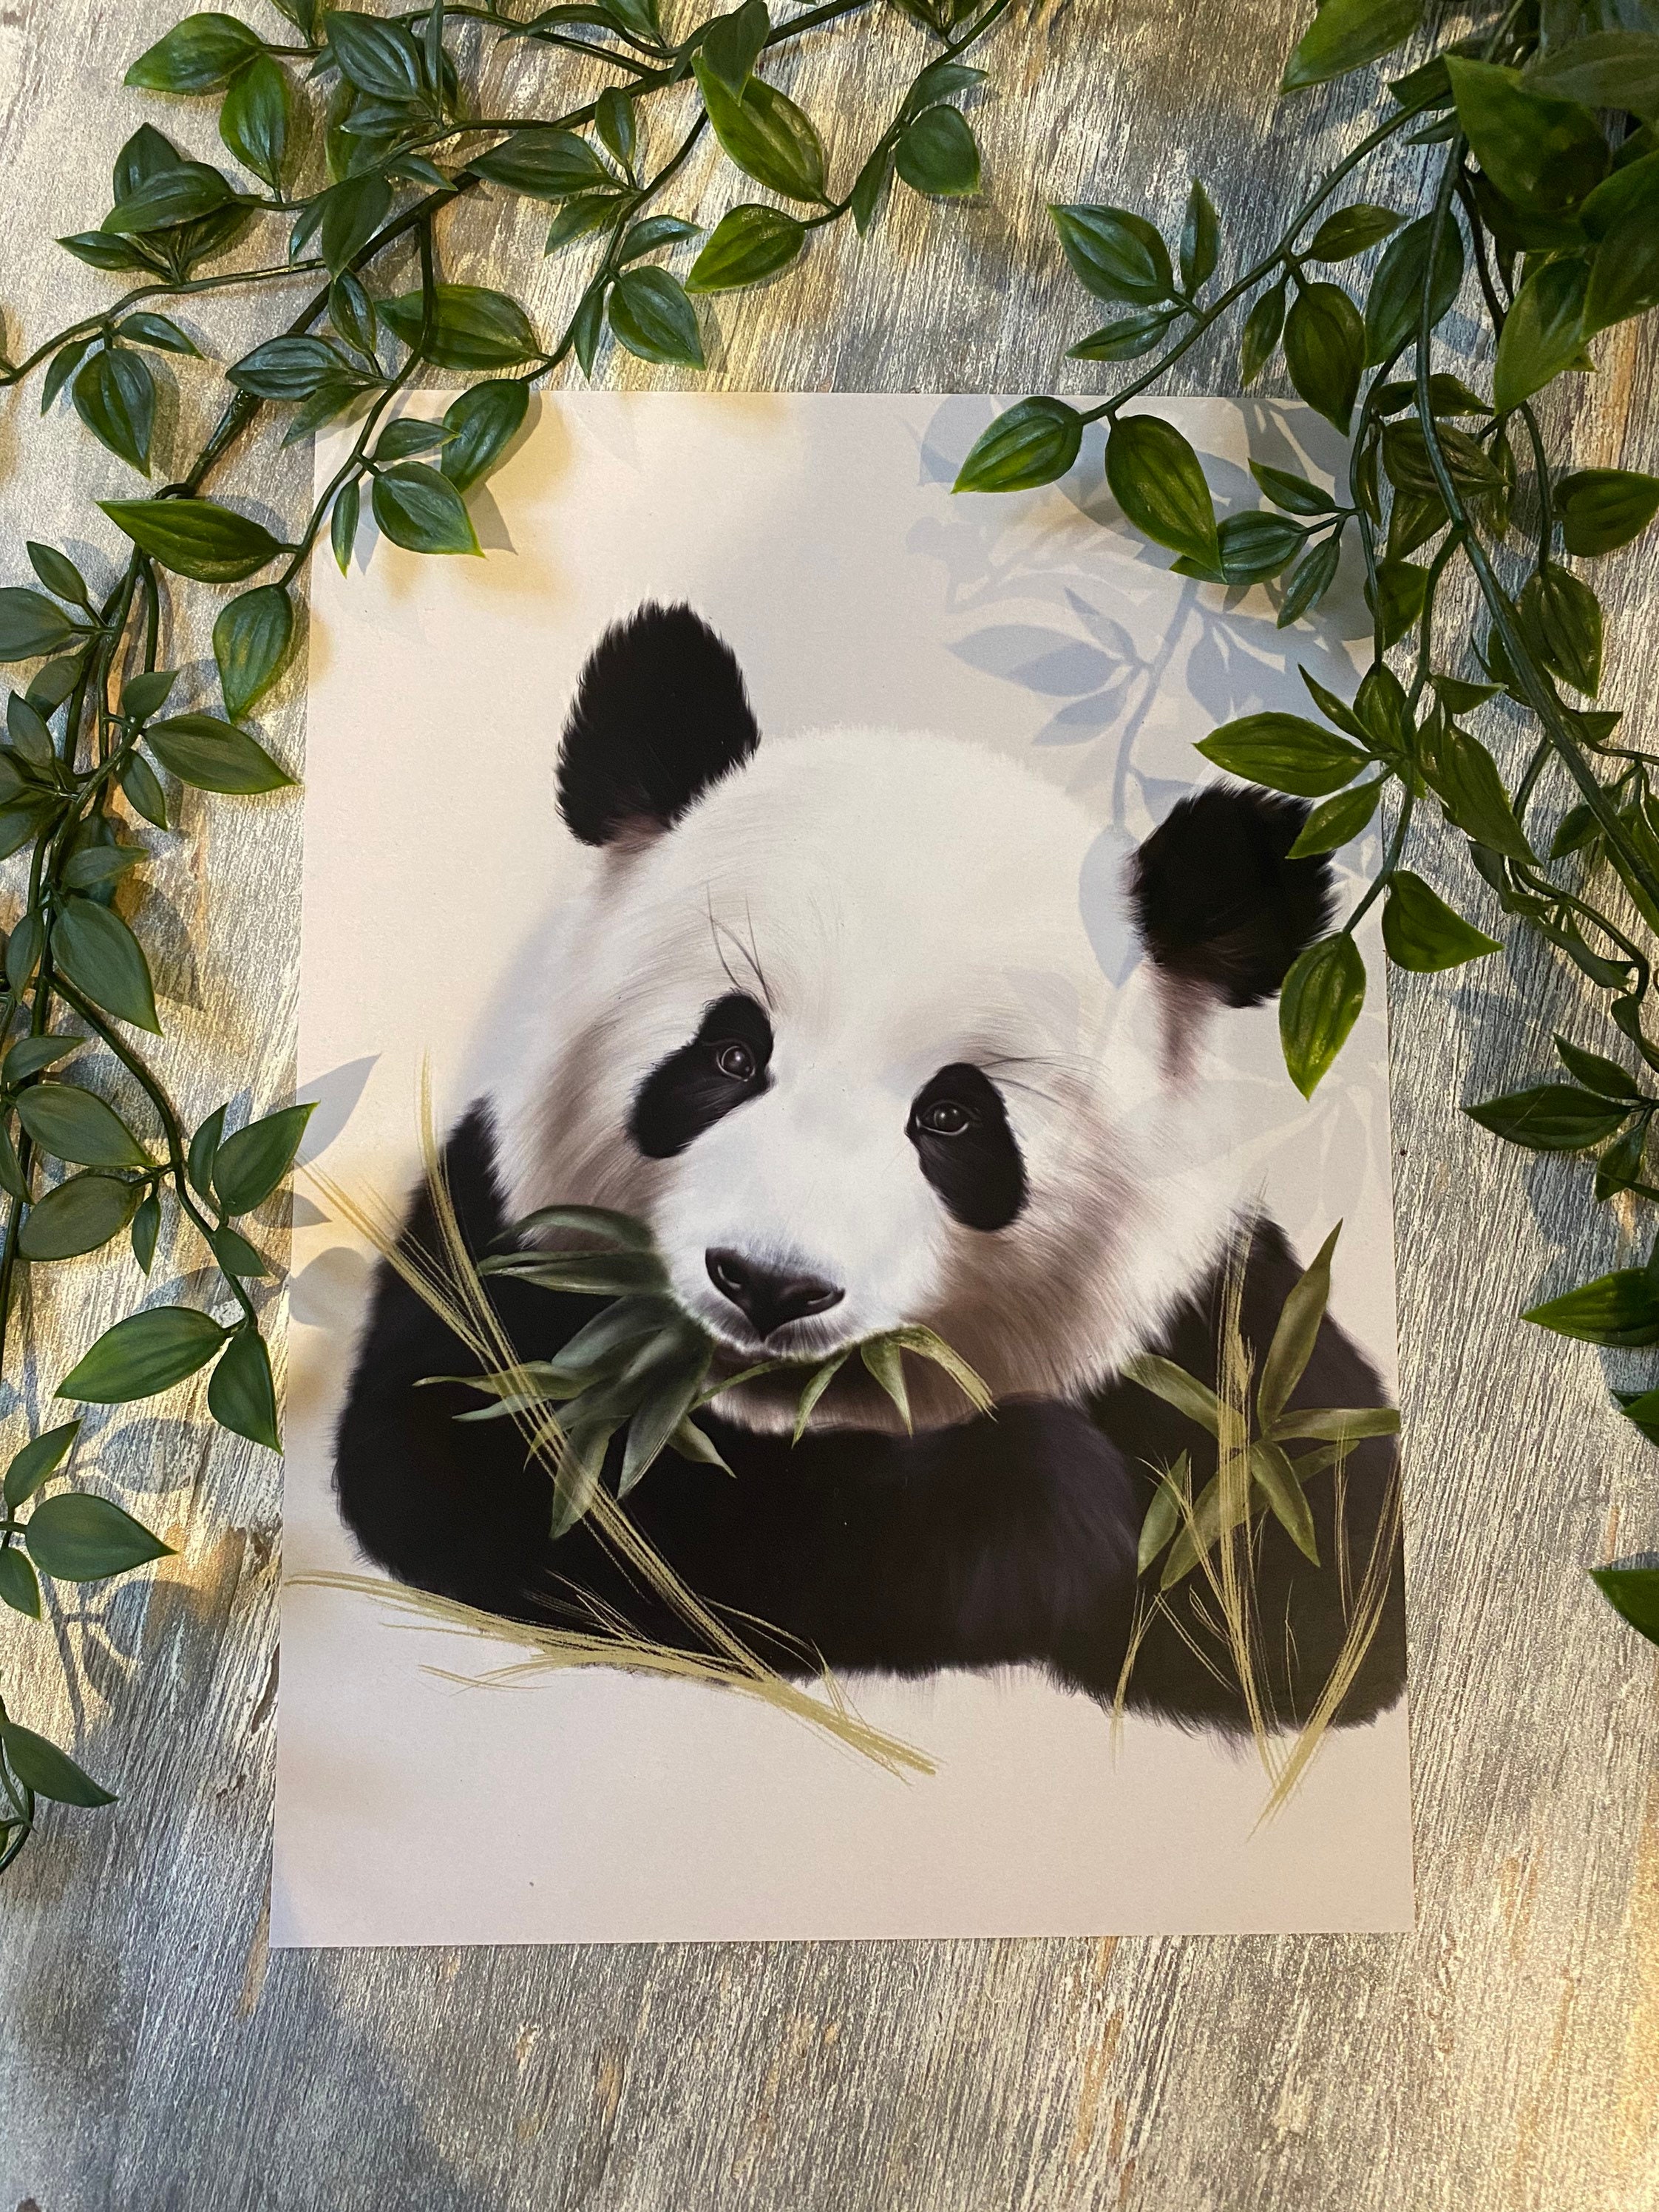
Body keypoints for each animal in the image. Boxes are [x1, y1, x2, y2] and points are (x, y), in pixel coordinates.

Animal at [334, 602, 1405, 1735]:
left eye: (954, 1118)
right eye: (731, 1056)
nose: (768, 1284)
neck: (787, 1415)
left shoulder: (1215, 1330)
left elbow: (1313, 1594)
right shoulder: (495, 1254)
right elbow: (520, 1480)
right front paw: (1043, 1503)